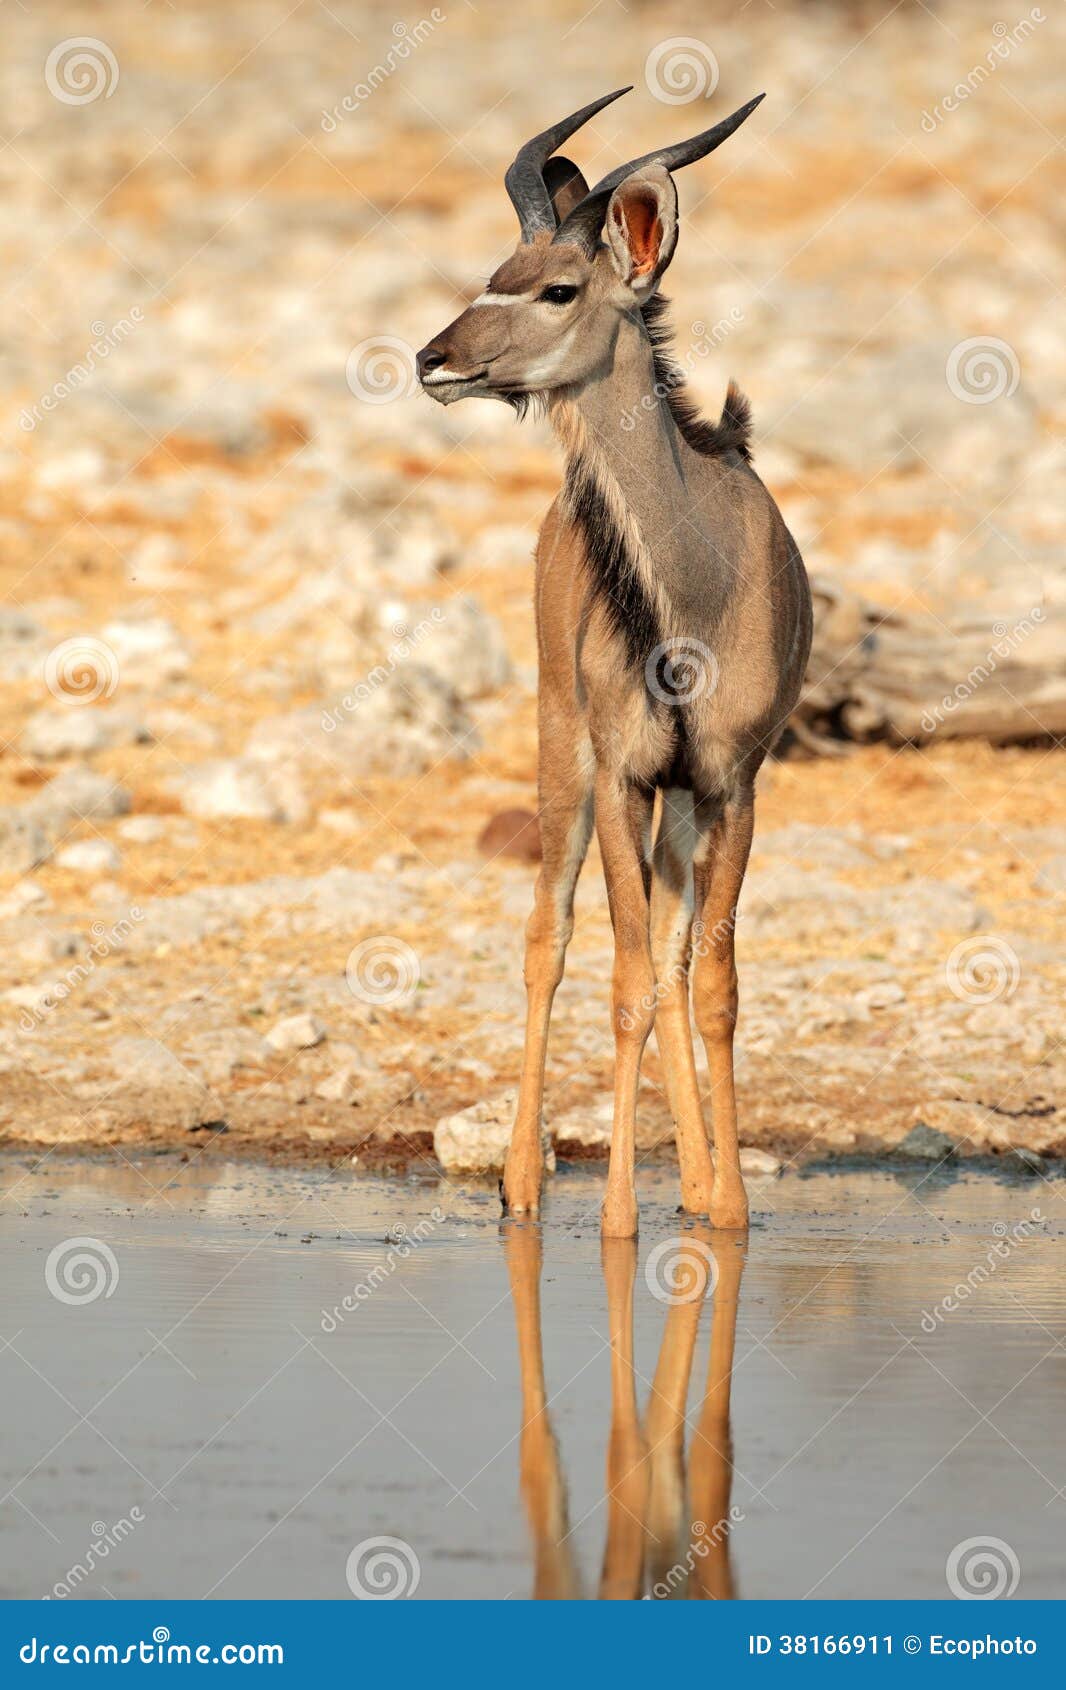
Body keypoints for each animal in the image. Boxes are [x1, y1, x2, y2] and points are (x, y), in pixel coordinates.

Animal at [417, 88, 812, 1236]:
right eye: (494, 271)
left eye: (556, 287)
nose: (432, 360)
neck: (692, 592)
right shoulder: (629, 775)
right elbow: (626, 979)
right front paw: (621, 1220)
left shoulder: (729, 784)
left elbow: (709, 984)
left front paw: (724, 1208)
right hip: (568, 757)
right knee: (547, 936)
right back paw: (520, 1184)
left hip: (667, 809)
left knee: (671, 964)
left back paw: (695, 1181)